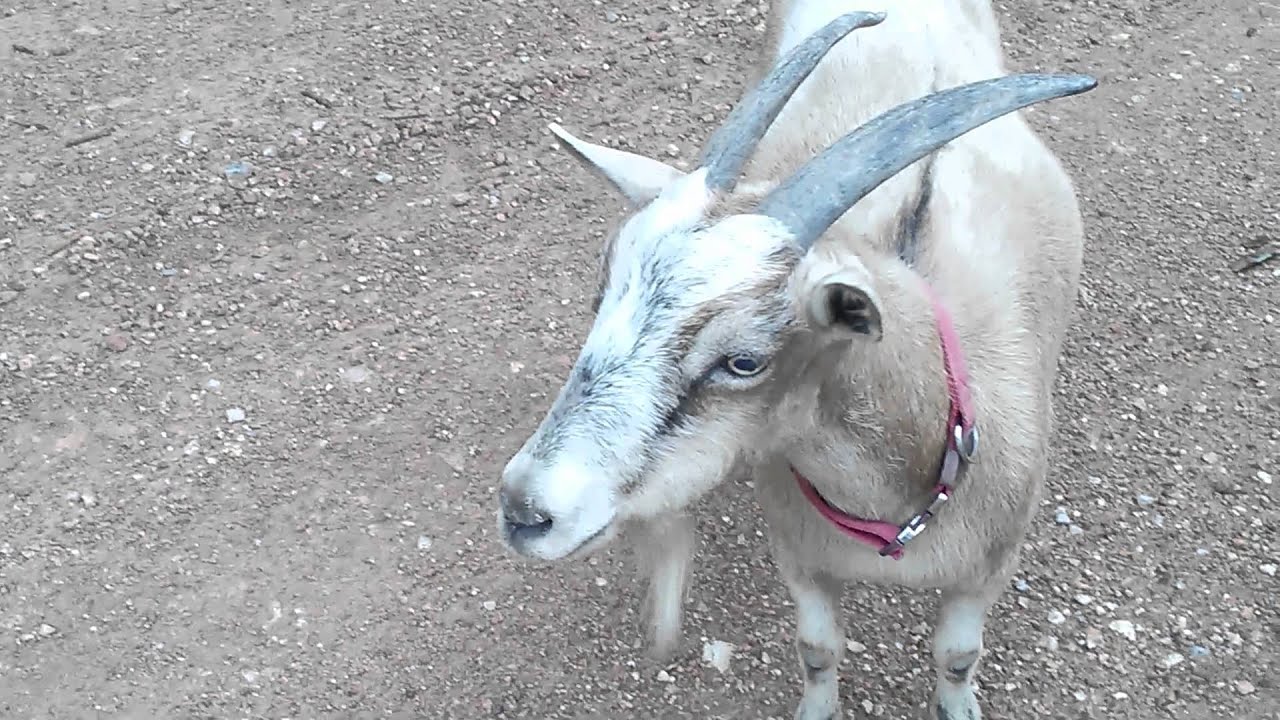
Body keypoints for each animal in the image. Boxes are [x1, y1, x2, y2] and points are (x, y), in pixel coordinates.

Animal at [496, 1, 1096, 717]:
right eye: (601, 292)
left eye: (744, 362)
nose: (525, 510)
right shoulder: (800, 557)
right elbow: (817, 649)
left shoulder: (989, 568)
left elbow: (956, 655)